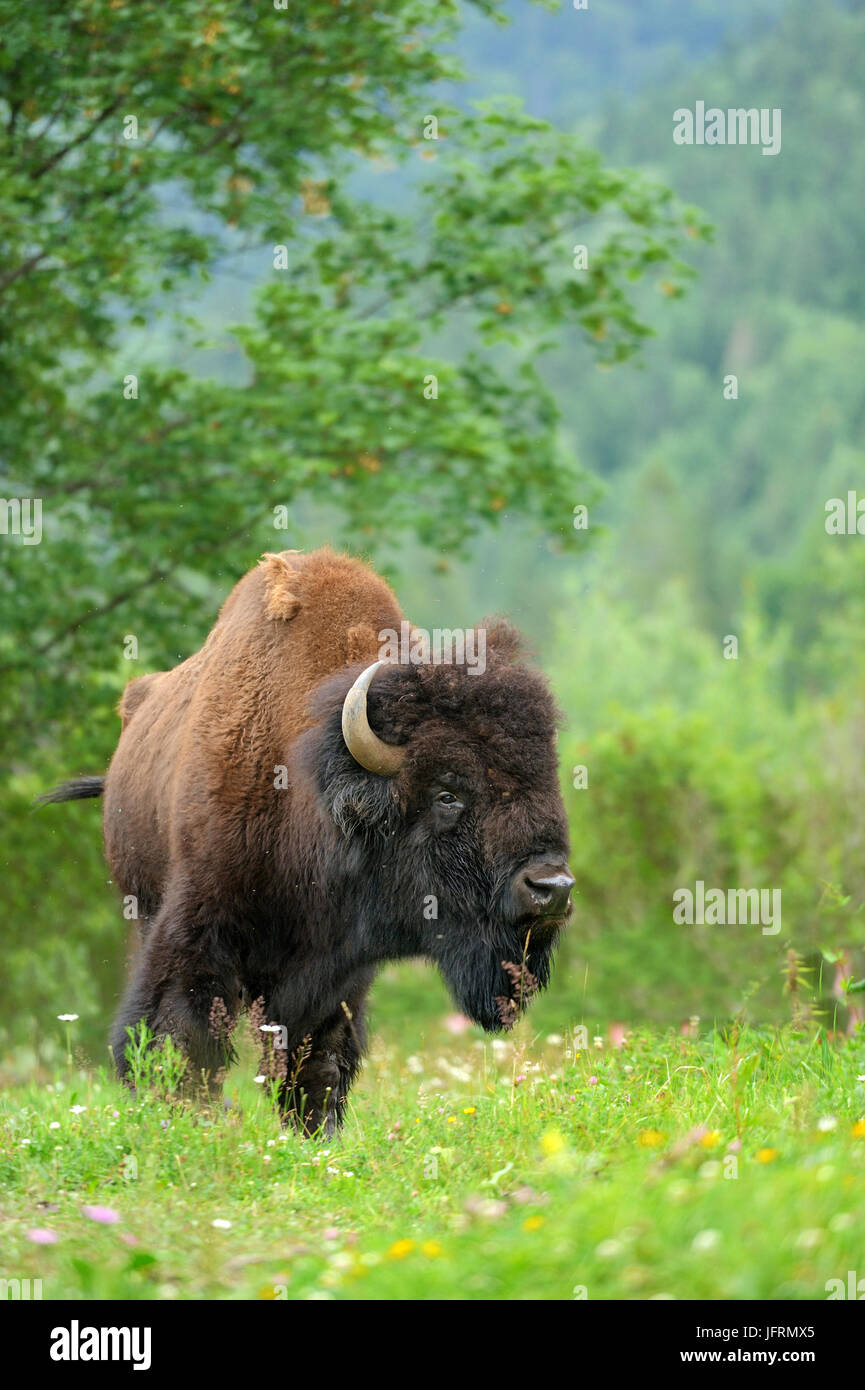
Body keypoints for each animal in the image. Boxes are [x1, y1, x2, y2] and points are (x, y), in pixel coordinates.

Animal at [41, 548, 573, 1133]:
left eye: (548, 779)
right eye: (446, 793)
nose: (551, 888)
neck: (308, 790)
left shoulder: (339, 970)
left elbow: (318, 1054)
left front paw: (314, 1130)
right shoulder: (198, 924)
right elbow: (181, 1031)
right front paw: (189, 1114)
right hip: (143, 903)